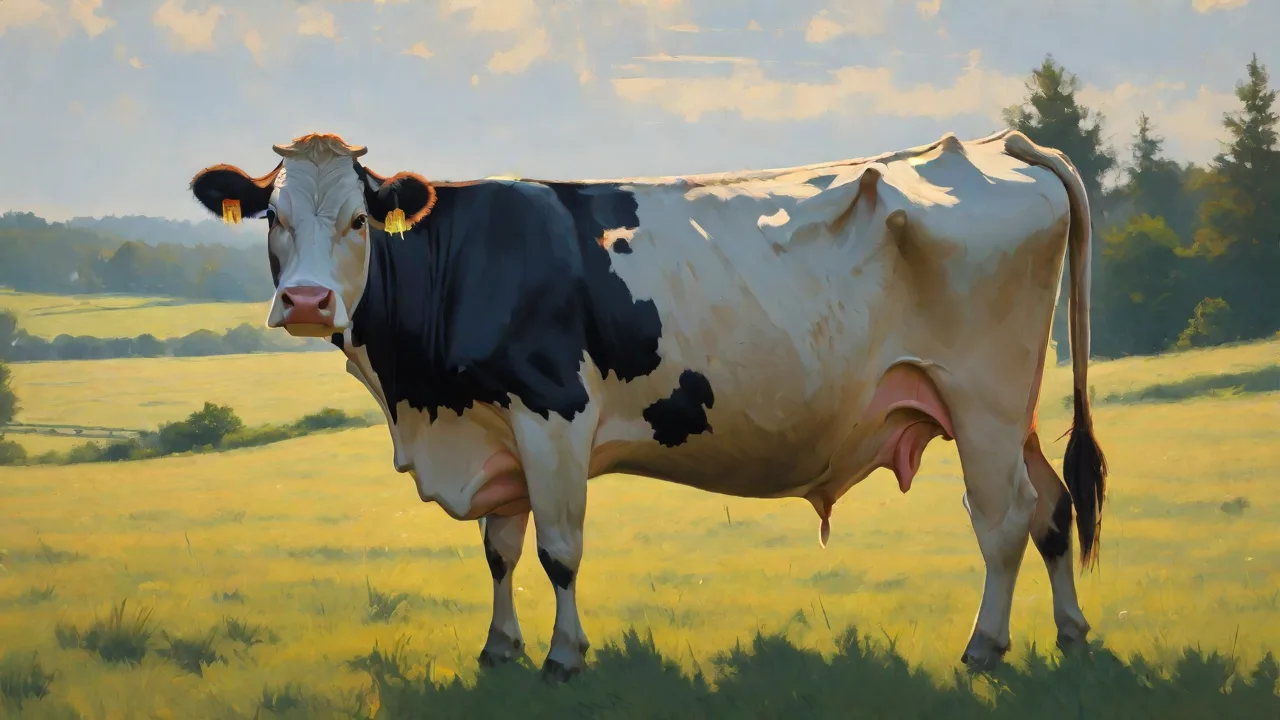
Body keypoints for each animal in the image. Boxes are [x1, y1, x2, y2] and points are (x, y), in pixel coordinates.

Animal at [188, 129, 1108, 680]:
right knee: (1053, 506)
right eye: (272, 216)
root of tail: (996, 143)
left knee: (1003, 517)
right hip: (1014, 407)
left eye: (358, 221)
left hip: (982, 396)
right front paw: (499, 648)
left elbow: (557, 551)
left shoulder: (551, 412)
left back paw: (984, 647)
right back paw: (1070, 633)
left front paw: (563, 657)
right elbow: (499, 549)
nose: (308, 302)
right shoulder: (497, 428)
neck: (426, 407)